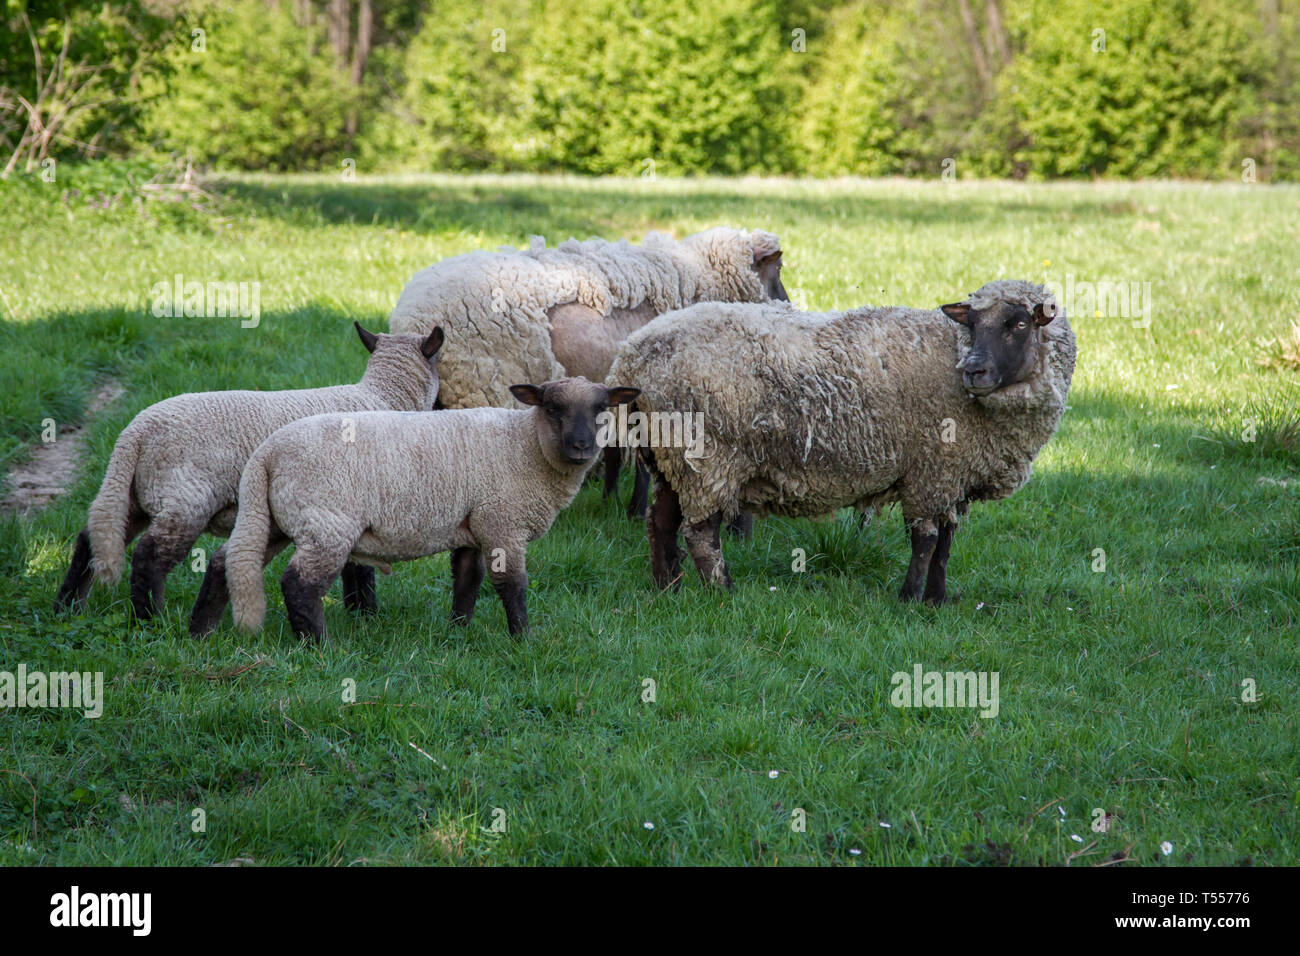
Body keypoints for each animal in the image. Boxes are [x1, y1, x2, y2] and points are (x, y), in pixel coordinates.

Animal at [55, 323, 445, 633]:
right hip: (185, 497)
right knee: (149, 555)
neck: (384, 397)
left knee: (92, 538)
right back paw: (149, 620)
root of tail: (134, 433)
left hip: (138, 493)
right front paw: (367, 615)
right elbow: (361, 568)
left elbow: (354, 563)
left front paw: (359, 615)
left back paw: (68, 608)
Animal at [220, 377, 640, 640]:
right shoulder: (502, 522)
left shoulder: (473, 524)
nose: (582, 446)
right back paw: (318, 645)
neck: (525, 446)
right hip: (326, 523)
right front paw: (523, 639)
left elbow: (467, 580)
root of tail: (267, 452)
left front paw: (458, 630)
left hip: (274, 517)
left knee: (227, 560)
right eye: (553, 408)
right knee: (298, 584)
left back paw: (207, 631)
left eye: (602, 408)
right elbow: (513, 585)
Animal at [386, 226, 787, 513]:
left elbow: (614, 451)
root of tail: (414, 314)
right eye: (778, 268)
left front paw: (612, 500)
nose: (787, 304)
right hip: (484, 386)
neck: (696, 275)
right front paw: (635, 508)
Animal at [606, 279, 1077, 604]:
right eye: (974, 325)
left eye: (1020, 324)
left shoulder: (954, 478)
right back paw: (723, 592)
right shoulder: (931, 473)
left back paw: (667, 588)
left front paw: (937, 600)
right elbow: (925, 540)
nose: (974, 370)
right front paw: (909, 599)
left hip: (669, 458)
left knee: (659, 522)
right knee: (700, 533)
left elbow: (945, 544)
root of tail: (630, 358)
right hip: (706, 457)